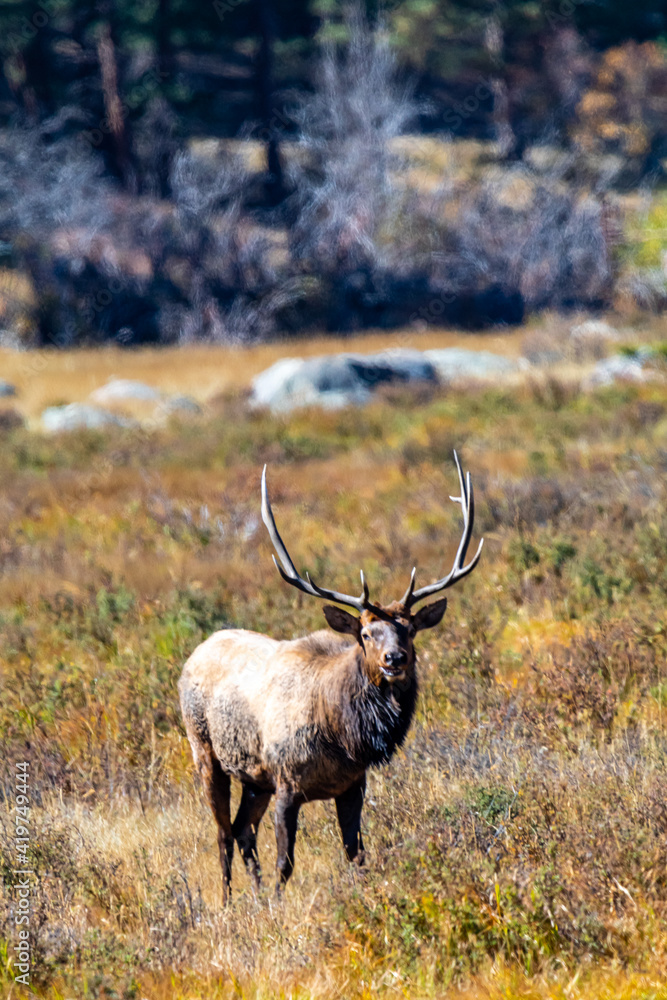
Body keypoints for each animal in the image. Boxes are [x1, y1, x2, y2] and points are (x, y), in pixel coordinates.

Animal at [178, 454, 483, 901]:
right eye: (365, 633)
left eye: (410, 629)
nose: (395, 658)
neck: (344, 737)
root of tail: (195, 652)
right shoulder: (287, 781)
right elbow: (286, 862)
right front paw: (278, 905)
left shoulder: (352, 785)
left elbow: (357, 855)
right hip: (206, 752)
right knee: (222, 835)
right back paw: (228, 901)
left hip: (255, 779)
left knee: (241, 829)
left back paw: (253, 896)